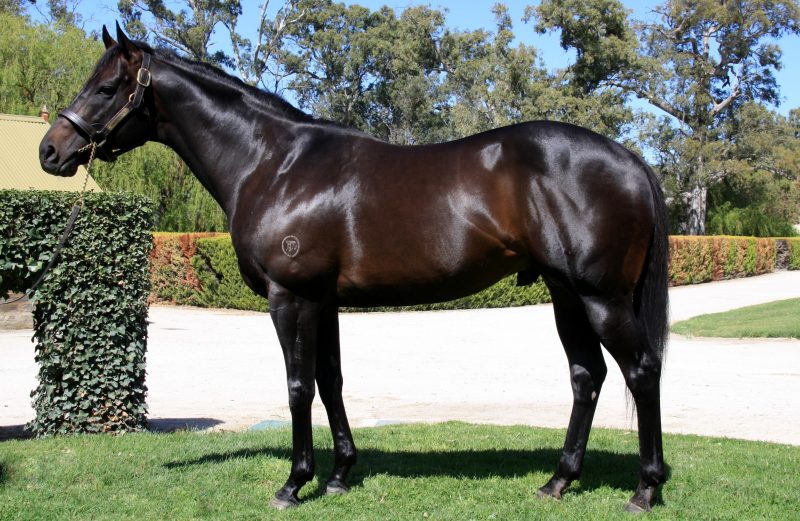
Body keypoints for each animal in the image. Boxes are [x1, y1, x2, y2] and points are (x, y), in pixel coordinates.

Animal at [40, 25, 669, 513]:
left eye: (107, 87)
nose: (51, 151)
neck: (275, 163)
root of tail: (631, 158)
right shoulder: (325, 301)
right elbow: (330, 380)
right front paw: (340, 475)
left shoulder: (290, 297)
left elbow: (297, 387)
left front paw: (294, 484)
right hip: (566, 295)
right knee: (587, 376)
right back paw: (558, 481)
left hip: (601, 298)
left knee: (641, 371)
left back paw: (645, 490)